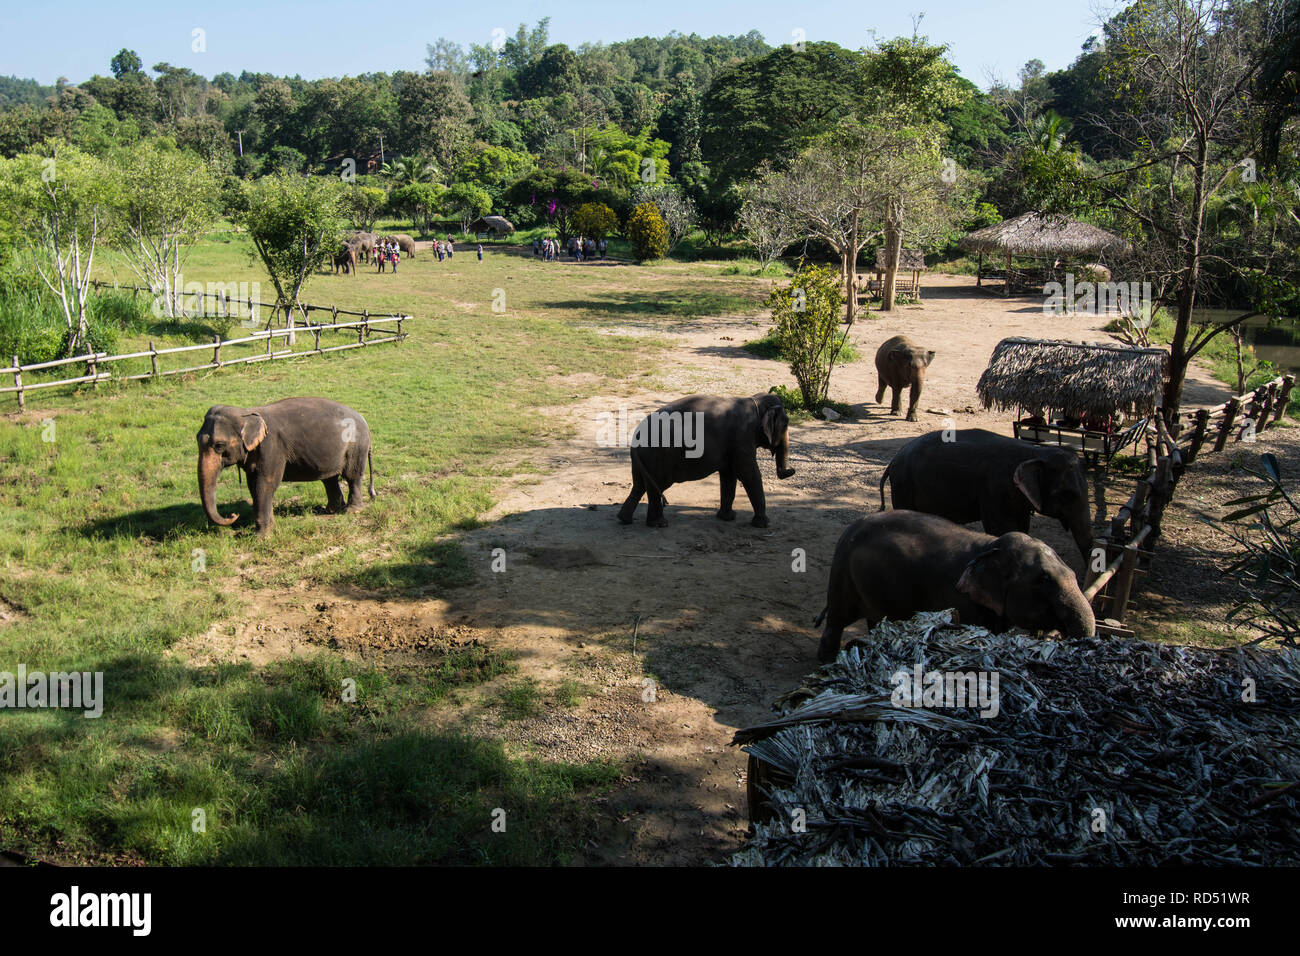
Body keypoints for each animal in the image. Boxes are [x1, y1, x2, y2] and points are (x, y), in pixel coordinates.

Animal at [197, 397, 375, 536]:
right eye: (197, 439)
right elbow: (253, 485)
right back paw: (330, 510)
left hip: (356, 447)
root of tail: (364, 420)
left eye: (219, 445)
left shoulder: (272, 447)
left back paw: (351, 511)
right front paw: (271, 528)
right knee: (329, 479)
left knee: (352, 477)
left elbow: (265, 484)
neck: (247, 413)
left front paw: (261, 537)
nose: (234, 515)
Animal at [616, 392, 796, 528]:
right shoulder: (742, 437)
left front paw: (727, 518)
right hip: (658, 457)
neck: (755, 400)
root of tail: (636, 436)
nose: (792, 470)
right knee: (655, 486)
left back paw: (625, 519)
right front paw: (763, 525)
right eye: (786, 424)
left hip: (645, 459)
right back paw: (659, 524)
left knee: (640, 485)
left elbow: (729, 475)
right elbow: (748, 473)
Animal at [814, 510, 1096, 663]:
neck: (989, 546)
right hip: (843, 577)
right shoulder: (960, 599)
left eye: (1073, 574)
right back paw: (828, 662)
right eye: (1044, 580)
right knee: (837, 620)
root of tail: (848, 532)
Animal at [879, 428, 1094, 563]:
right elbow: (1000, 528)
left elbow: (1022, 526)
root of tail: (893, 461)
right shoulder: (995, 488)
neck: (1034, 452)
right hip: (904, 485)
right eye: (1067, 495)